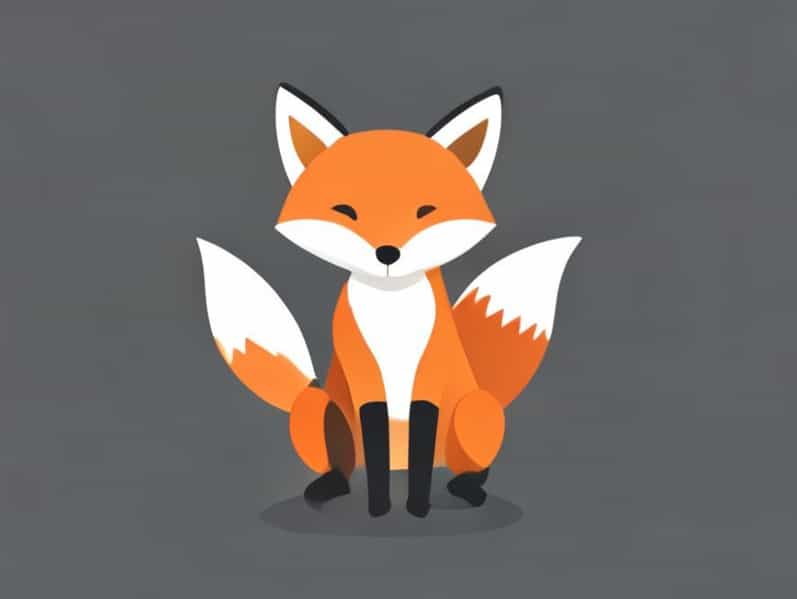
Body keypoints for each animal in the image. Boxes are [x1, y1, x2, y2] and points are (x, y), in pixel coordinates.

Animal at [196, 83, 581, 518]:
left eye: (426, 211)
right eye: (345, 211)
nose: (387, 253)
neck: (392, 313)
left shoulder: (428, 379)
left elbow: (422, 449)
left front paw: (417, 508)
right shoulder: (365, 379)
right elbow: (375, 442)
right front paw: (380, 508)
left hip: (475, 411)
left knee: (462, 466)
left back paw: (466, 488)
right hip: (318, 408)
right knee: (348, 465)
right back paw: (330, 486)